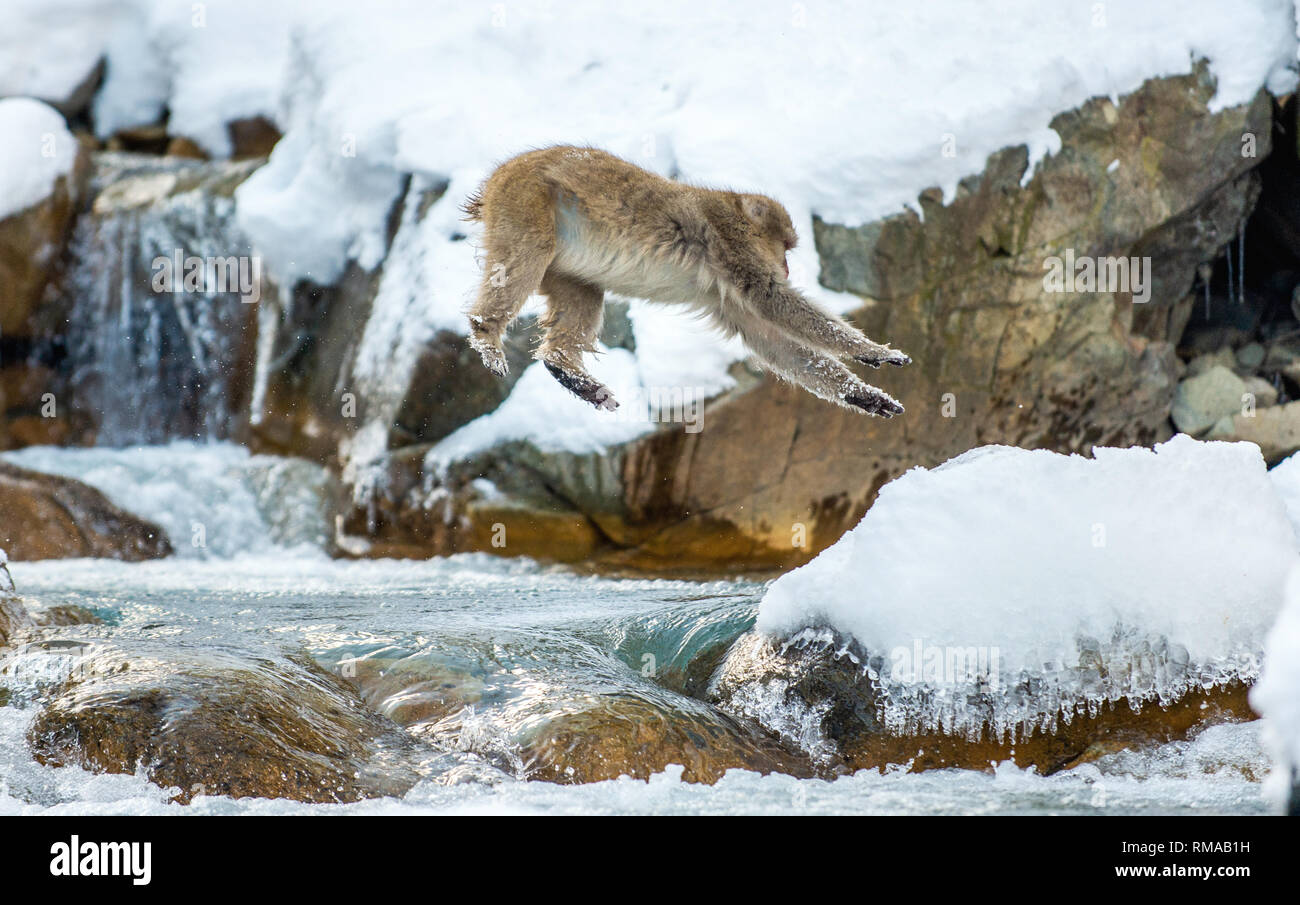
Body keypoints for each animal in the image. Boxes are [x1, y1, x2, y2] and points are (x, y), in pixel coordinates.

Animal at [461, 146, 910, 417]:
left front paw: (866, 395)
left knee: (580, 296)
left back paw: (568, 369)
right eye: (784, 246)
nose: (785, 268)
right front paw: (874, 352)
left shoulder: (725, 293)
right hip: (524, 204)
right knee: (526, 254)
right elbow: (769, 299)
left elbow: (771, 339)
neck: (736, 215)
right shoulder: (732, 243)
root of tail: (500, 174)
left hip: (560, 259)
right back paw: (485, 333)